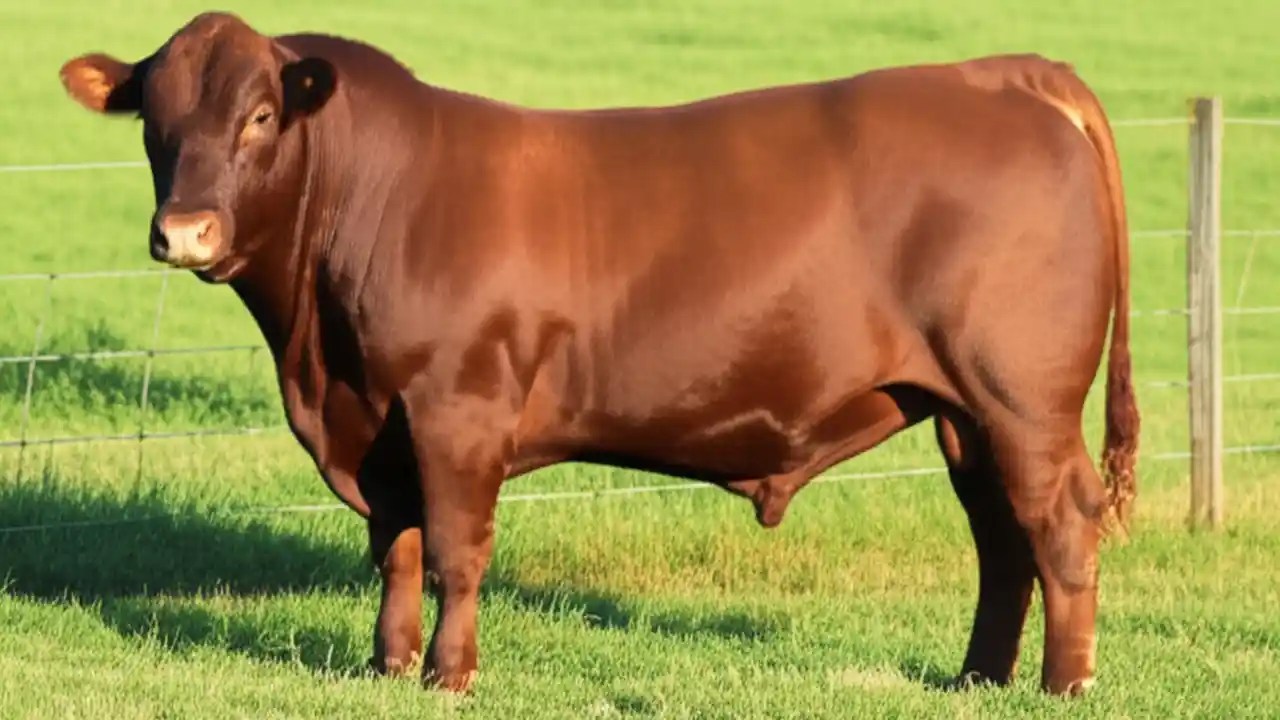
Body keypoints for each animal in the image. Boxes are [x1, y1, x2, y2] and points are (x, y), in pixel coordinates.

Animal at [59, 11, 1138, 697]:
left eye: (259, 116)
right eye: (156, 123)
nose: (184, 232)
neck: (317, 356)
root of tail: (1001, 73)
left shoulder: (458, 411)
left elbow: (454, 550)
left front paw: (449, 674)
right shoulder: (377, 424)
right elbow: (396, 549)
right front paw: (386, 665)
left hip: (1021, 400)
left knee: (1058, 527)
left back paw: (1064, 684)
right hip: (965, 411)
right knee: (1000, 537)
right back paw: (976, 678)